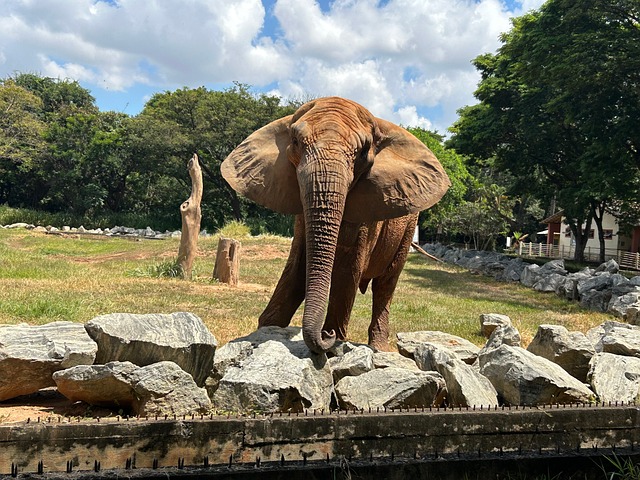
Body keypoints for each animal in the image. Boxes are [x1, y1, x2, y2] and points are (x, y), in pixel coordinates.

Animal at [221, 97, 450, 354]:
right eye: (295, 142)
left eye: (362, 152)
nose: (325, 334)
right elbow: (297, 267)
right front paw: (266, 331)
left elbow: (347, 272)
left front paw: (335, 341)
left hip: (409, 225)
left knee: (386, 284)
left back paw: (379, 348)